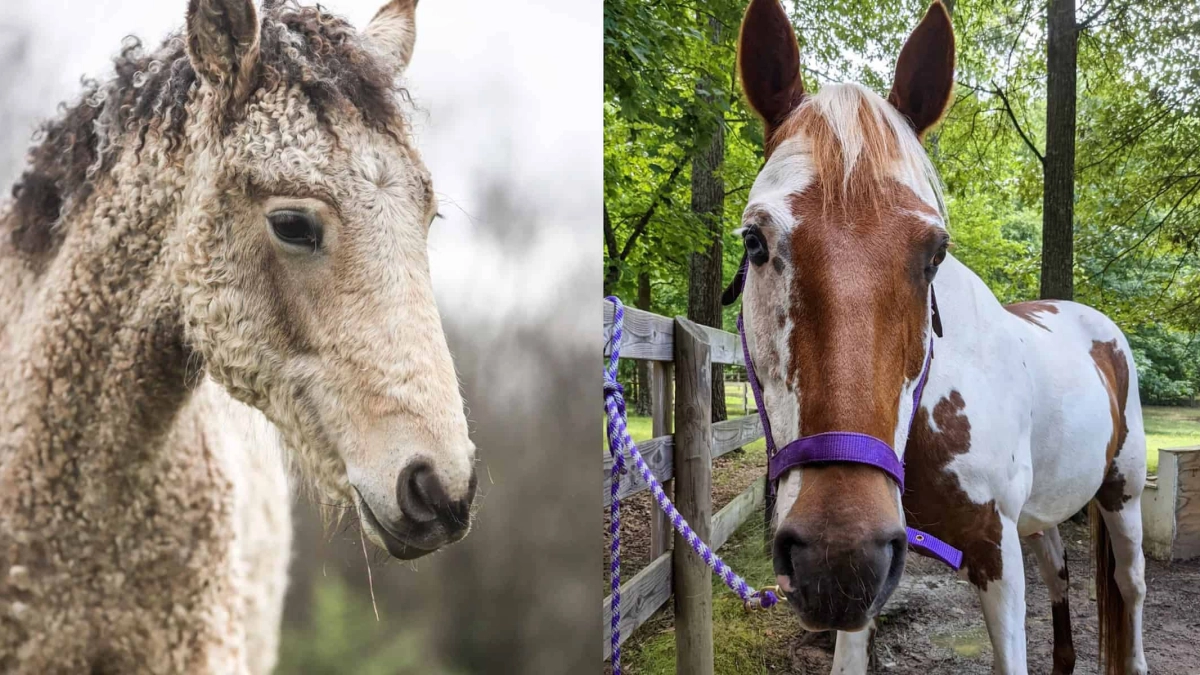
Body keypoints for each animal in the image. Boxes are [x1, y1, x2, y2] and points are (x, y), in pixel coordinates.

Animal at [732, 1, 1148, 673]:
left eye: (935, 254)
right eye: (754, 241)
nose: (836, 556)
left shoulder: (997, 555)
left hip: (1122, 497)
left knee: (1130, 588)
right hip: (1040, 520)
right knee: (1059, 575)